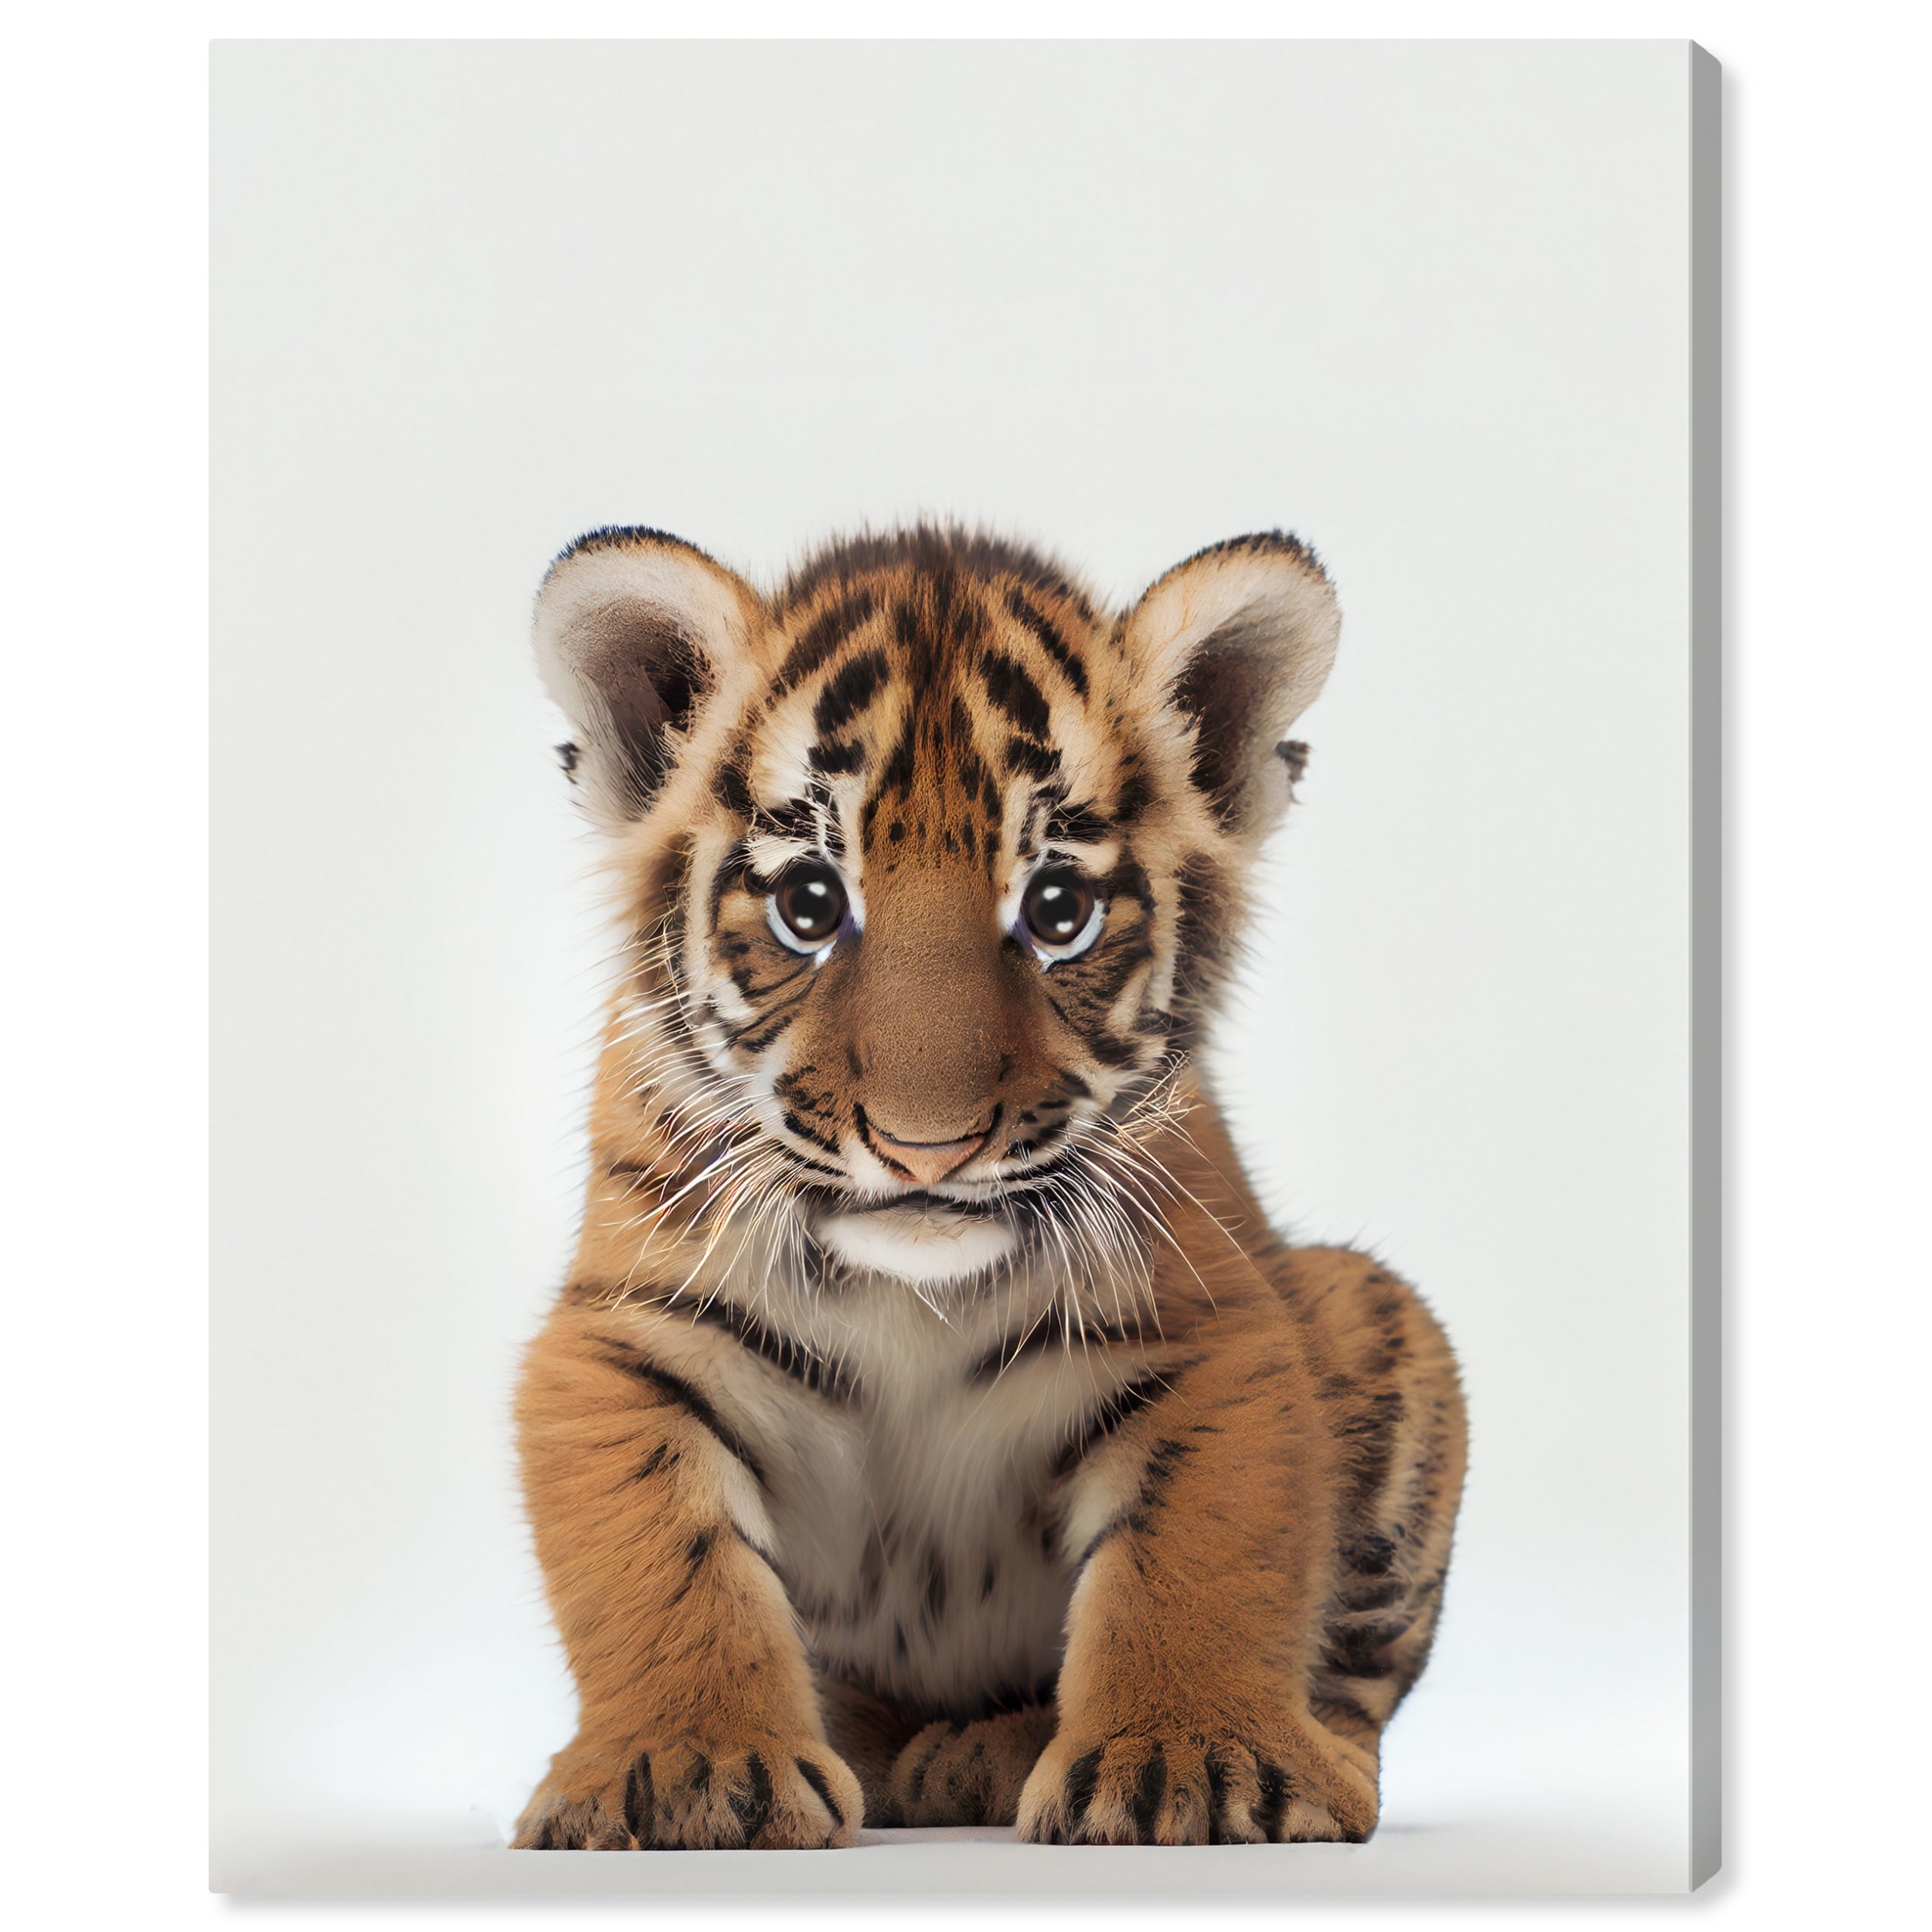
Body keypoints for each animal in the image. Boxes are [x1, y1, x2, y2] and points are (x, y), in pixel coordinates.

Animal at [511, 522, 1466, 1850]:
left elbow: (1198, 1560)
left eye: (1057, 909)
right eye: (809, 903)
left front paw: (1194, 1762)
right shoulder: (624, 1338)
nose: (928, 1148)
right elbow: (661, 1562)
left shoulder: (1213, 1336)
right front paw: (689, 1770)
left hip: (1381, 1316)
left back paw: (1014, 1751)